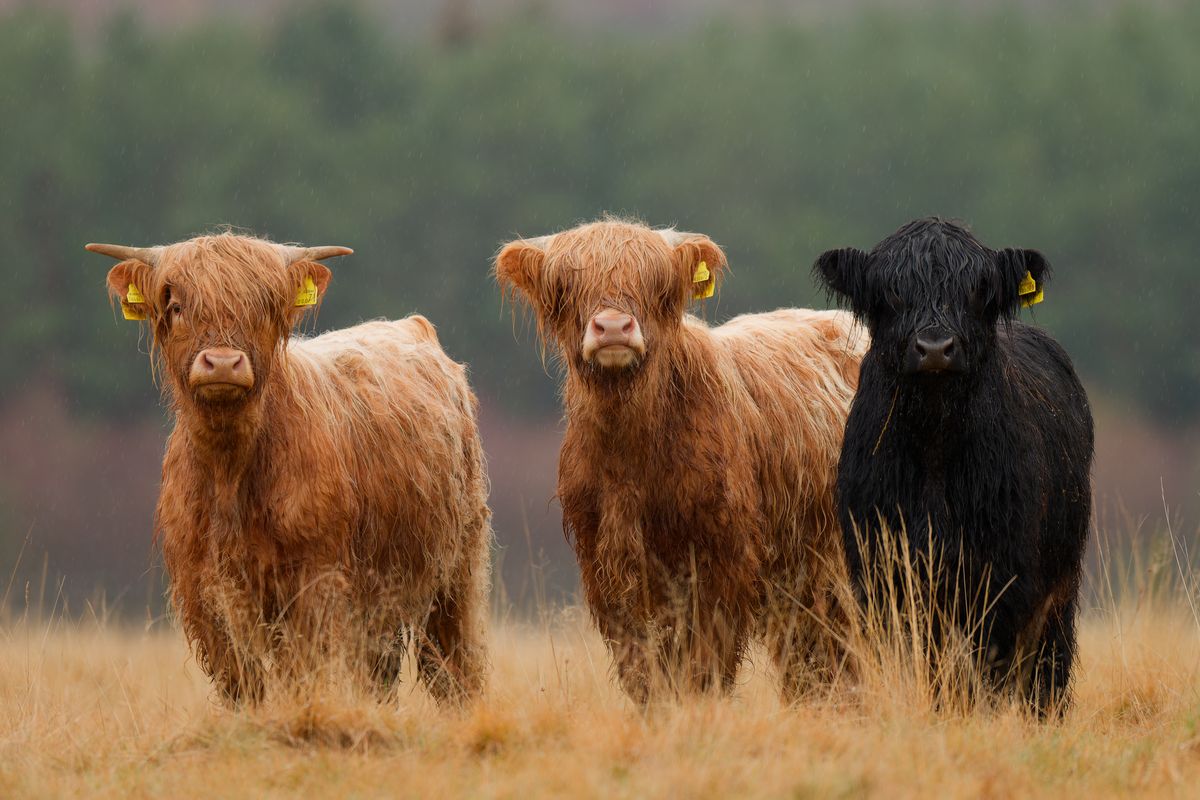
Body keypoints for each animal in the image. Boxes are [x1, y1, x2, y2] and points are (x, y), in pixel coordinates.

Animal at [90, 233, 491, 705]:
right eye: (176, 305)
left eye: (264, 306)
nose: (222, 362)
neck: (230, 471)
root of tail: (414, 326)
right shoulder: (205, 593)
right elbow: (242, 684)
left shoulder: (314, 582)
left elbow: (300, 672)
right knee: (381, 674)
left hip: (455, 570)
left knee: (453, 667)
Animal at [495, 217, 866, 703]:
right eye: (567, 285)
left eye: (655, 282)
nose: (613, 327)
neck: (631, 457)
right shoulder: (607, 569)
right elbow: (642, 670)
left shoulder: (721, 562)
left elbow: (704, 665)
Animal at [813, 217, 1093, 715]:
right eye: (893, 290)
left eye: (977, 289)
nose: (935, 348)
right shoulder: (883, 568)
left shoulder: (1002, 576)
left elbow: (985, 664)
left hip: (1062, 580)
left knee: (1048, 660)